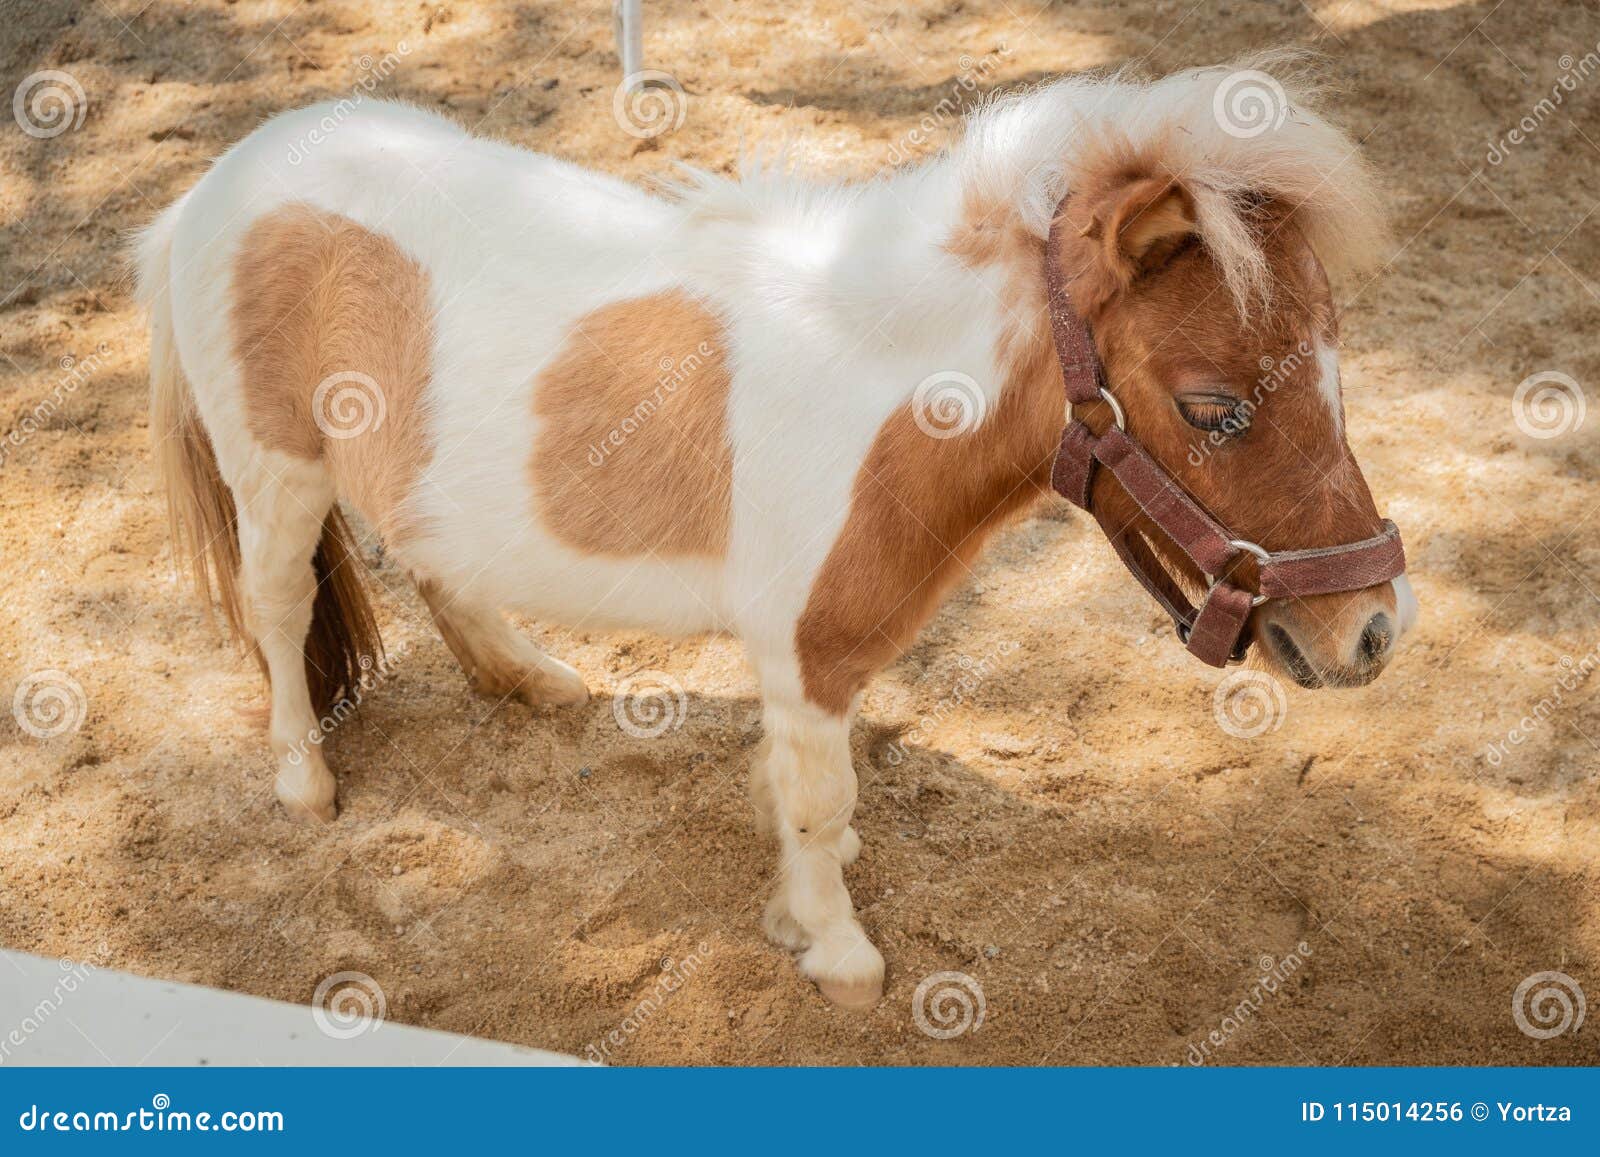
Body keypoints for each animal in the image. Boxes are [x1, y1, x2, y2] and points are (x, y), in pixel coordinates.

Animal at [135, 60, 1417, 1009]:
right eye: (1214, 408)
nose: (1373, 631)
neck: (878, 395)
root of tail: (218, 187)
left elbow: (805, 795)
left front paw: (806, 901)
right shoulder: (808, 657)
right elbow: (819, 795)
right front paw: (839, 955)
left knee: (431, 557)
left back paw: (531, 678)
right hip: (278, 475)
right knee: (281, 605)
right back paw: (305, 780)